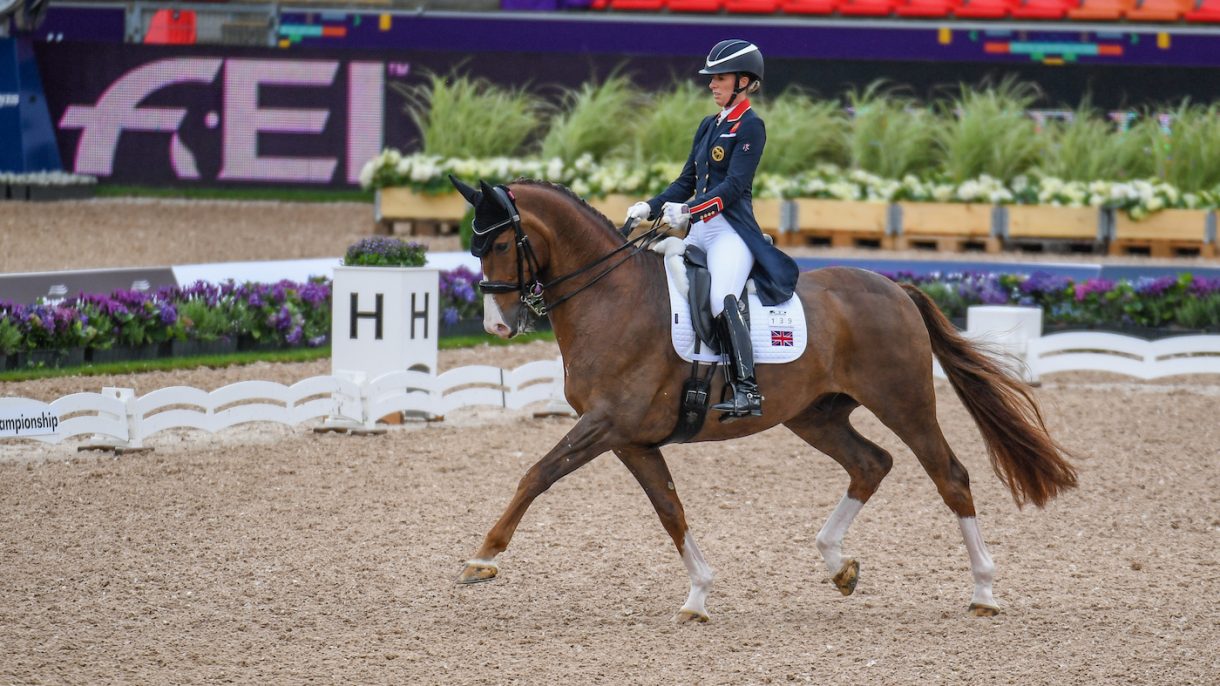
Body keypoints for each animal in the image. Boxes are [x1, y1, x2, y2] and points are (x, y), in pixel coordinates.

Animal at [447, 176, 1078, 622]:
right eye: (473, 246)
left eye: (499, 241)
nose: (498, 326)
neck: (612, 297)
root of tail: (894, 286)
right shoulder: (628, 438)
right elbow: (670, 508)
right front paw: (698, 596)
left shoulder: (605, 426)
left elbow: (536, 474)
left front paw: (482, 559)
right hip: (815, 416)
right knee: (871, 464)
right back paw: (838, 564)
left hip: (904, 402)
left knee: (950, 475)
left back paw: (984, 591)